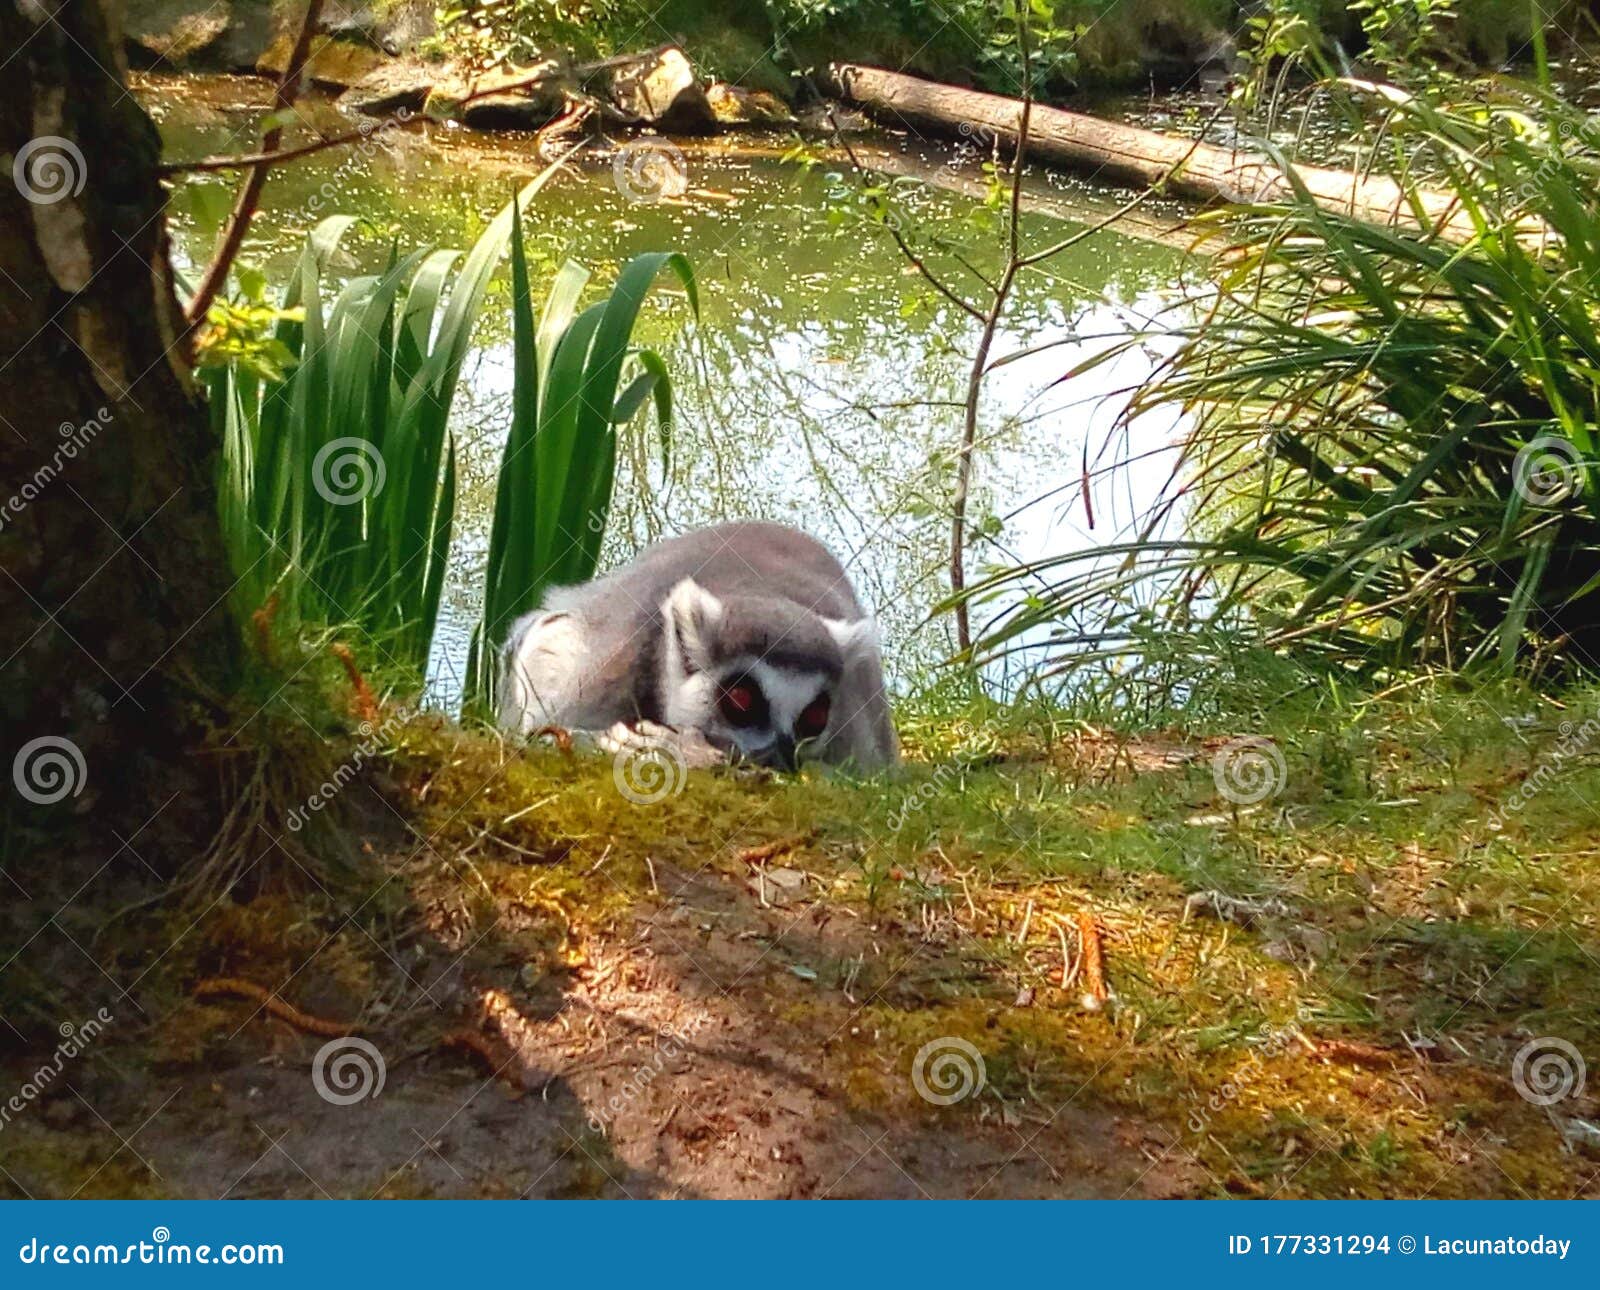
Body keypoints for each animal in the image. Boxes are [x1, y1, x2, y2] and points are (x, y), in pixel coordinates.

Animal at [498, 521, 898, 771]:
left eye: (815, 716)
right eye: (741, 699)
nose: (782, 754)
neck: (759, 588)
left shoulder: (853, 720)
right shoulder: (607, 665)